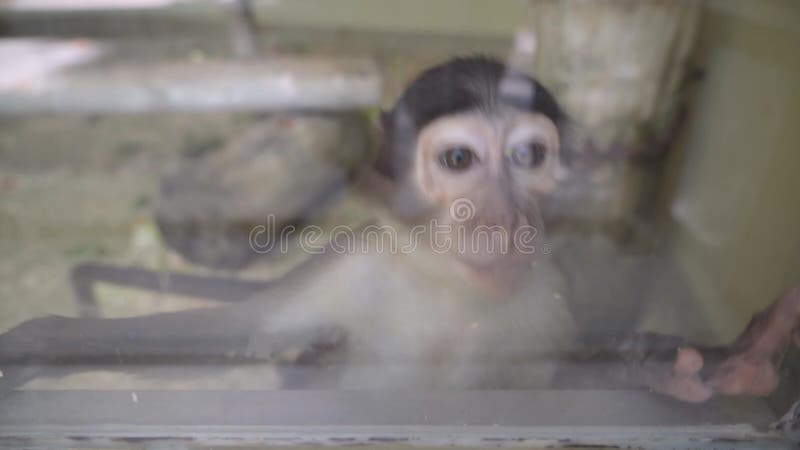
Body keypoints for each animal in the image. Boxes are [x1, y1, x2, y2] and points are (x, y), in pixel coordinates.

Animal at [0, 57, 797, 403]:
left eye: (528, 158)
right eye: (459, 160)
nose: (504, 219)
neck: (454, 291)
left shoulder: (551, 295)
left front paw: (694, 369)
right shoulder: (360, 265)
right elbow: (223, 335)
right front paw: (33, 345)